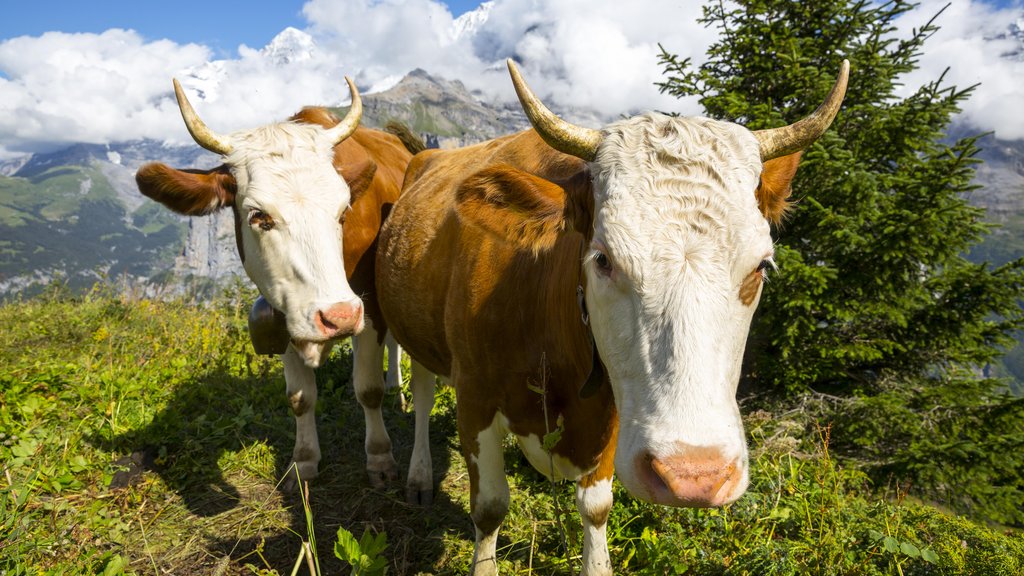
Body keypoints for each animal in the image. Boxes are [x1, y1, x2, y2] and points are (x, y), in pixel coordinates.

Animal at [134, 78, 435, 503]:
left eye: (343, 209)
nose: (338, 317)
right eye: (259, 215)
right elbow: (300, 398)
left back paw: (397, 387)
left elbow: (368, 388)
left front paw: (379, 458)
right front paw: (303, 463)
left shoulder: (369, 304)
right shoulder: (285, 311)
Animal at [376, 59, 848, 575]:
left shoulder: (613, 410)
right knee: (423, 395)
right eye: (603, 258)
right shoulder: (475, 396)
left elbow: (597, 507)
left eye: (762, 265)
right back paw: (420, 475)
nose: (695, 475)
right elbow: (490, 507)